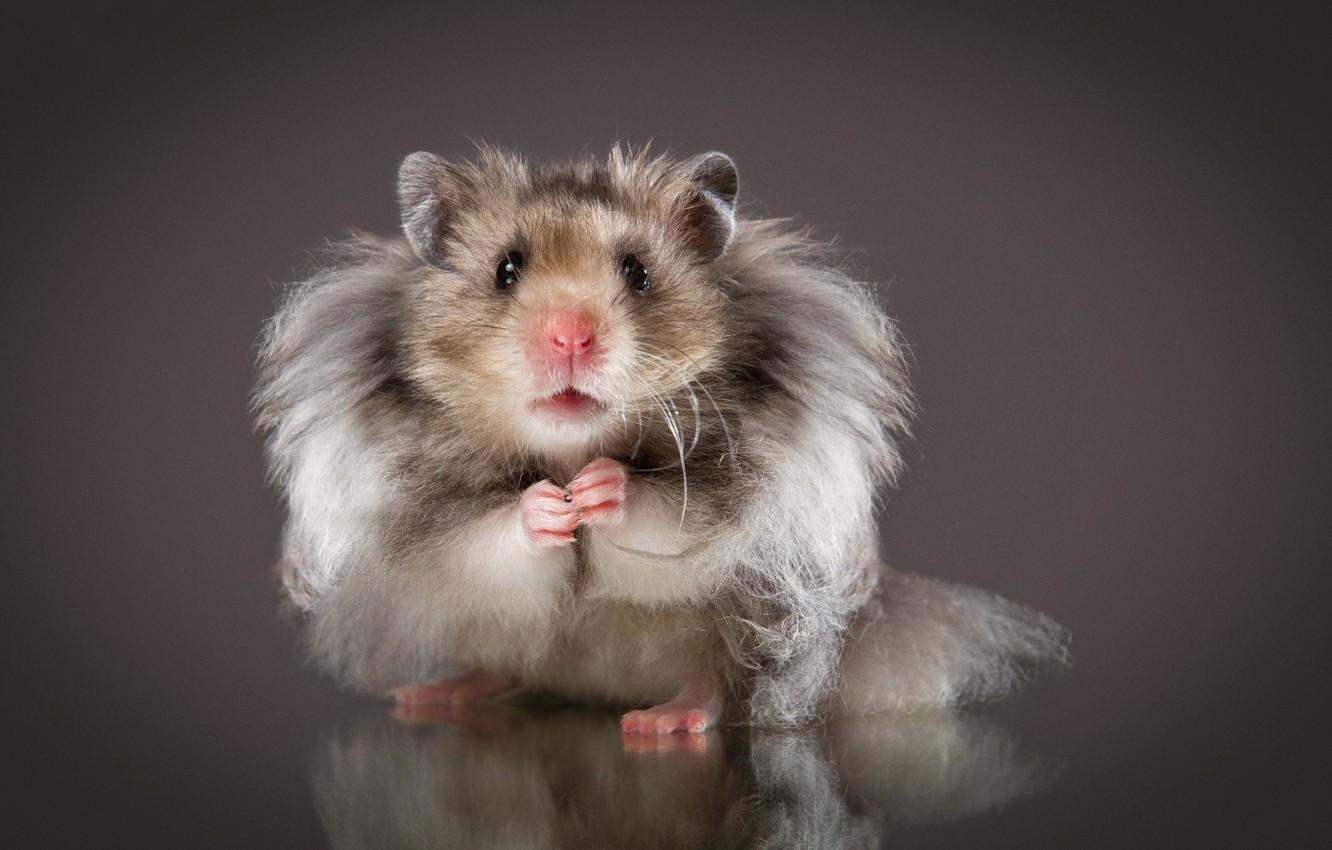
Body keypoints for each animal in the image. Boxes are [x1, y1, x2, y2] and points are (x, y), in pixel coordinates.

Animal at [254, 146, 1068, 733]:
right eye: (506, 269)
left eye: (638, 271)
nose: (570, 337)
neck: (570, 443)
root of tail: (593, 692)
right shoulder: (421, 516)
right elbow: (478, 543)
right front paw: (549, 505)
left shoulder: (735, 503)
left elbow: (669, 528)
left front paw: (599, 489)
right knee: (508, 665)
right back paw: (437, 695)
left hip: (729, 643)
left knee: (712, 684)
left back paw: (661, 725)